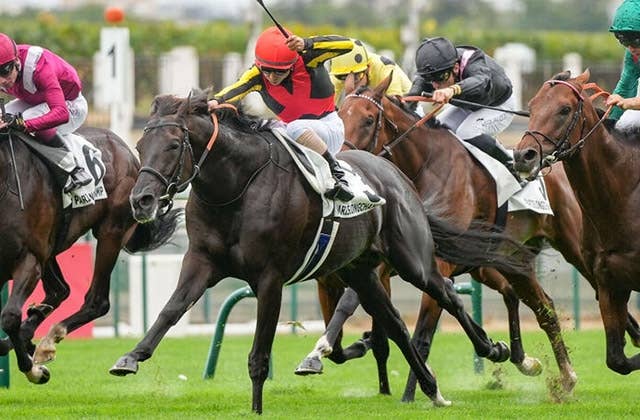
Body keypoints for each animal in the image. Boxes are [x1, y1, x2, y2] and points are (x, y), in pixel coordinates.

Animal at [0, 126, 181, 384]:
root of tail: (124, 148)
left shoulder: (29, 260)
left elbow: (10, 317)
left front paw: (34, 370)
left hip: (110, 232)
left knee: (97, 301)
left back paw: (44, 341)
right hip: (52, 248)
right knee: (60, 290)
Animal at [107, 91, 536, 413]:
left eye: (174, 144)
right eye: (140, 144)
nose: (141, 200)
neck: (237, 187)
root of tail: (398, 176)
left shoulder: (270, 278)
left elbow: (259, 354)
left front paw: (257, 408)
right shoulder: (202, 261)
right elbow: (171, 310)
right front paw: (130, 357)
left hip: (413, 260)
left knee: (447, 296)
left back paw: (494, 349)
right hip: (361, 272)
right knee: (397, 325)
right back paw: (432, 388)